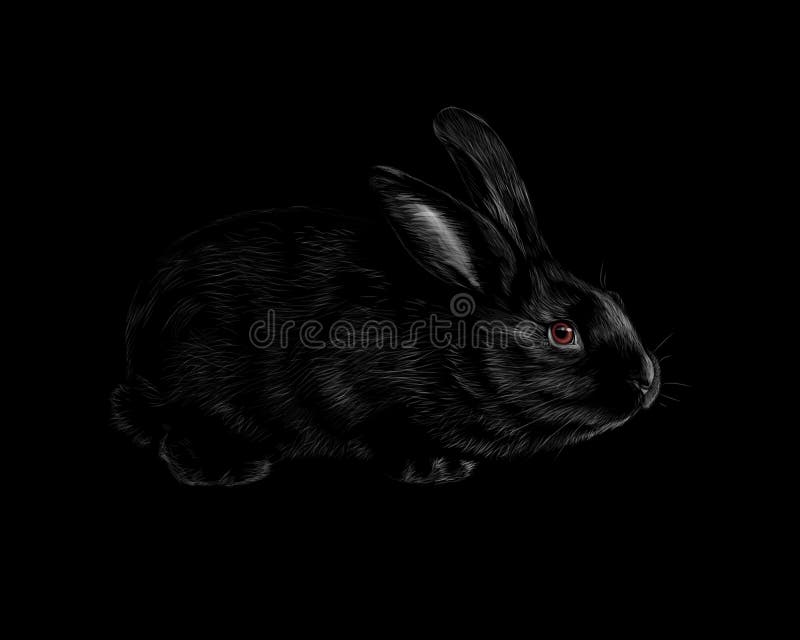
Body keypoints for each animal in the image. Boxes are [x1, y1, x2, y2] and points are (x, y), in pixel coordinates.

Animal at [111, 107, 660, 486]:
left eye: (616, 299)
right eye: (563, 333)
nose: (645, 383)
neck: (455, 346)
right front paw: (440, 467)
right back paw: (228, 468)